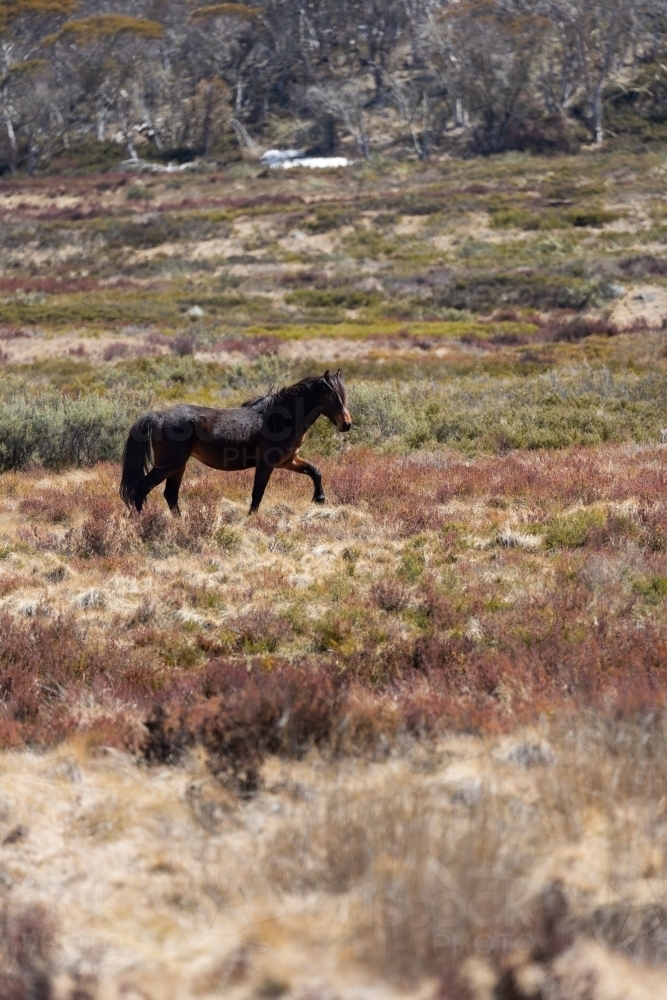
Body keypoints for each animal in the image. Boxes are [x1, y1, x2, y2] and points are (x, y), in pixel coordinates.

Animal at [120, 369, 351, 515]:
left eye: (344, 395)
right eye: (332, 397)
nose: (347, 424)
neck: (278, 419)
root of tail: (159, 416)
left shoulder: (288, 461)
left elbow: (315, 471)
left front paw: (319, 498)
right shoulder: (266, 465)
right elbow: (257, 494)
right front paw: (251, 520)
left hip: (178, 466)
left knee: (170, 495)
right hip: (169, 465)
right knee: (141, 489)